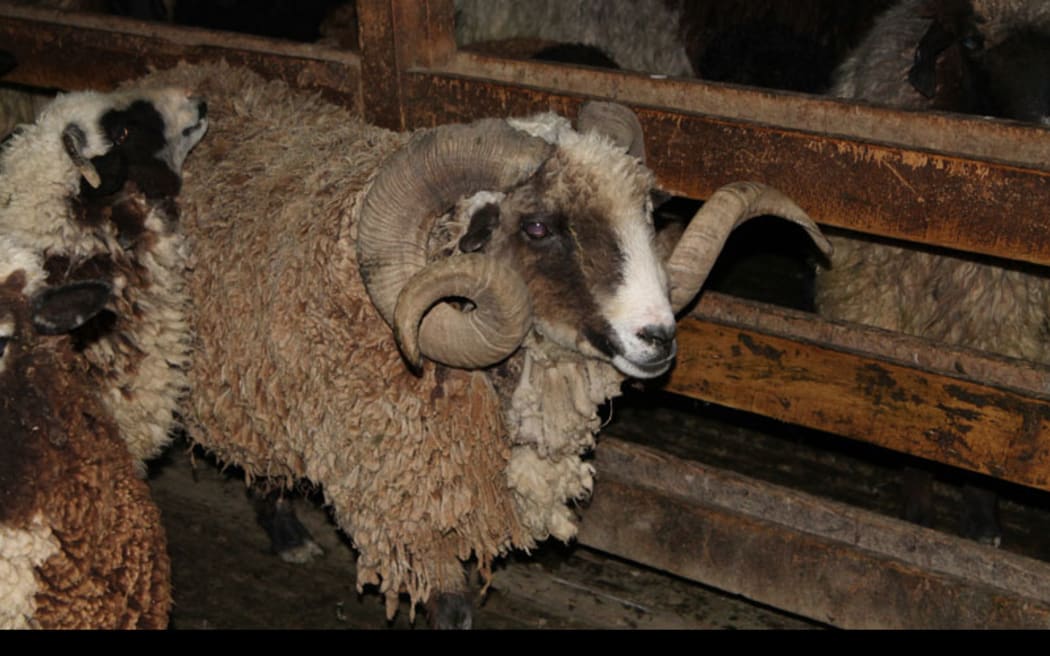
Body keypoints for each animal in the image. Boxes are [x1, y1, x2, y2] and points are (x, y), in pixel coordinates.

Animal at [816, 0, 1050, 546]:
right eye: (970, 42)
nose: (1046, 122)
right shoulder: (886, 321)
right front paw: (919, 515)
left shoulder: (999, 330)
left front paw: (983, 525)